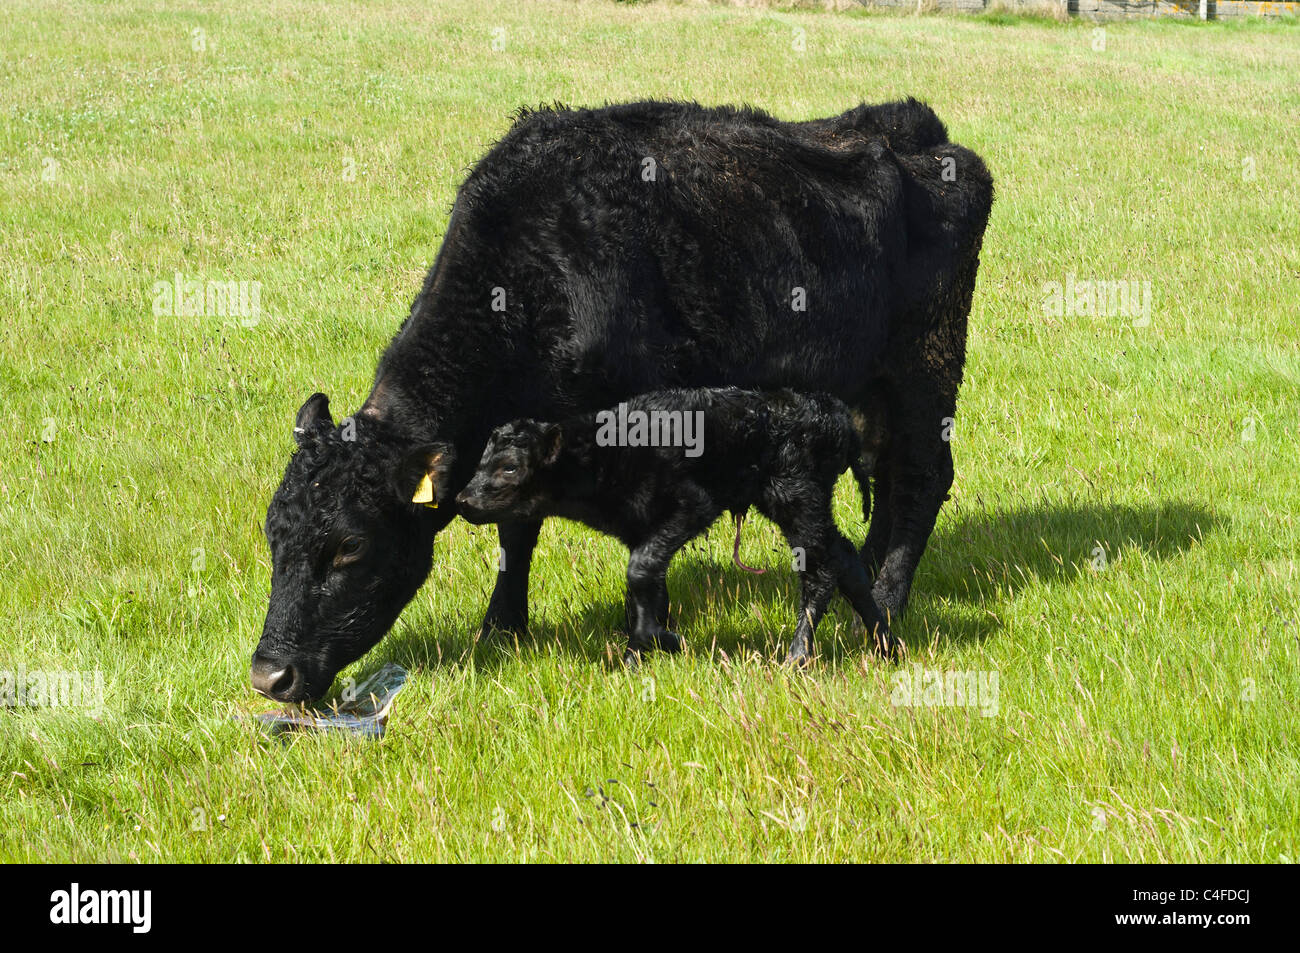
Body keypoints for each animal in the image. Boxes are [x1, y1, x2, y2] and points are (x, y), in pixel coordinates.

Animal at [251, 98, 993, 703]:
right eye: (272, 535)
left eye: (349, 546)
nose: (269, 676)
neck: (537, 268)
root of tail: (915, 128)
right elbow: (517, 528)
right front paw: (503, 627)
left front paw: (641, 629)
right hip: (869, 387)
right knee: (885, 480)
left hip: (927, 366)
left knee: (923, 477)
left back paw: (890, 601)